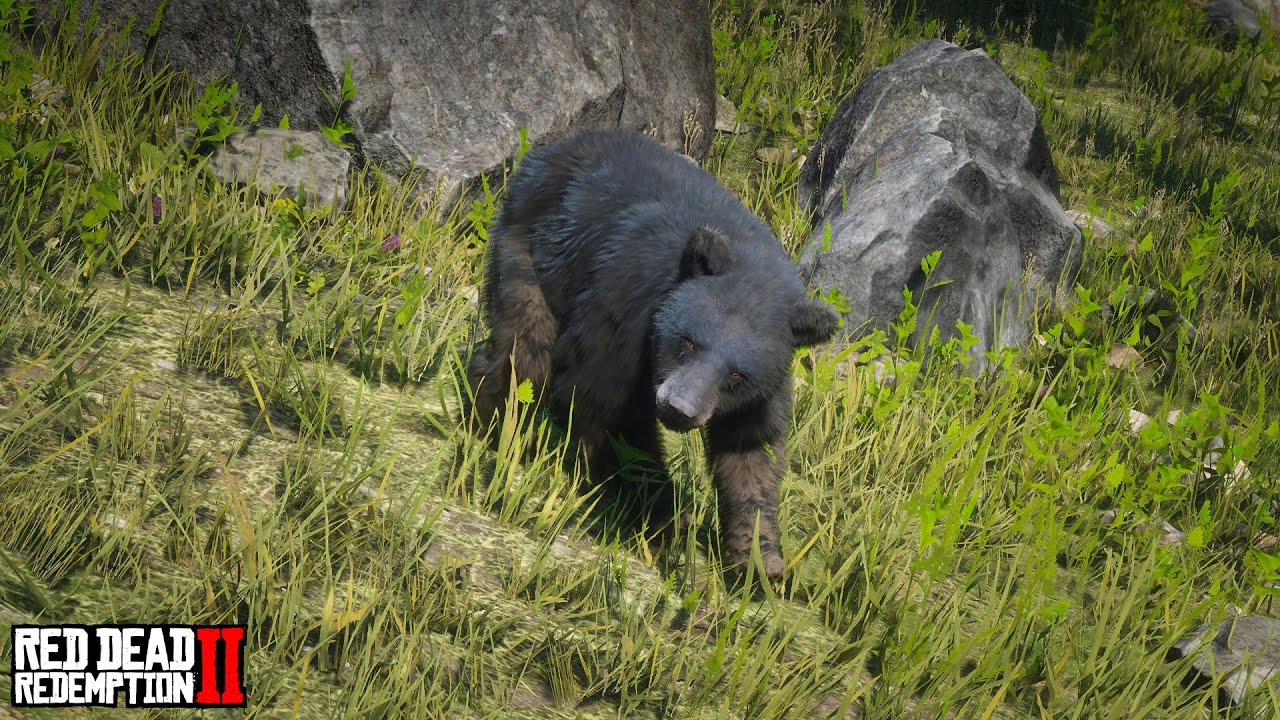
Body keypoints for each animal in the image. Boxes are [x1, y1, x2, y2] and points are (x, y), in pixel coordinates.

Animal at [466, 128, 841, 579]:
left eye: (736, 375)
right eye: (688, 342)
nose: (680, 409)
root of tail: (566, 142)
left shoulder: (766, 387)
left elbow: (750, 451)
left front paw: (759, 558)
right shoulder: (625, 315)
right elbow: (604, 406)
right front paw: (665, 514)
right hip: (530, 242)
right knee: (525, 348)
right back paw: (491, 423)